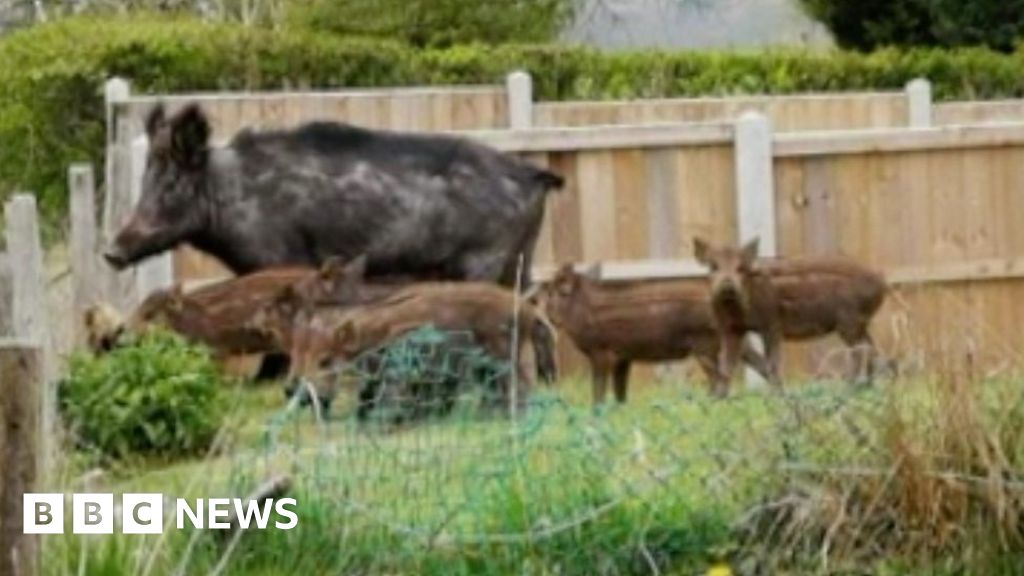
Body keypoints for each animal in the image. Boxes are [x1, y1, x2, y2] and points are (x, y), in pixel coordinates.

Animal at [104, 104, 564, 289]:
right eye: (145, 179)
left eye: (171, 183)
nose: (111, 252)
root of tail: (532, 174)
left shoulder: (282, 260)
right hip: (520, 259)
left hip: (484, 260)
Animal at [535, 264, 770, 402]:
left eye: (552, 292)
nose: (541, 311)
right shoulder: (623, 358)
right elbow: (620, 394)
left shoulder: (601, 353)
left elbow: (598, 393)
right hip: (737, 341)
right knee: (763, 367)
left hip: (704, 345)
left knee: (720, 379)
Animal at [693, 237, 887, 392]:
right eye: (713, 266)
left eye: (741, 268)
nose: (727, 285)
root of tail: (882, 284)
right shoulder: (729, 329)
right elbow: (726, 367)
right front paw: (720, 398)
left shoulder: (771, 322)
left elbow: (772, 364)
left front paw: (778, 396)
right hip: (859, 323)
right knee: (871, 348)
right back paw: (865, 386)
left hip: (850, 321)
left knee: (862, 350)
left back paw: (852, 387)